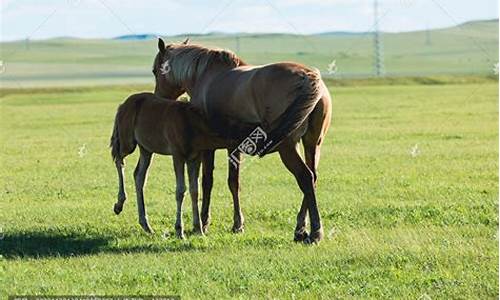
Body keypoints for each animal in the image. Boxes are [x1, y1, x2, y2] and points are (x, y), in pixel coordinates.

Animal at [152, 38, 332, 244]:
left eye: (155, 70)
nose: (158, 97)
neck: (207, 77)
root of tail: (309, 78)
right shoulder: (233, 147)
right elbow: (234, 183)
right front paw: (238, 224)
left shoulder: (208, 148)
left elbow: (207, 182)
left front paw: (204, 222)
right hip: (312, 145)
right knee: (313, 177)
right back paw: (301, 229)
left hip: (288, 149)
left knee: (305, 178)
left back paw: (314, 231)